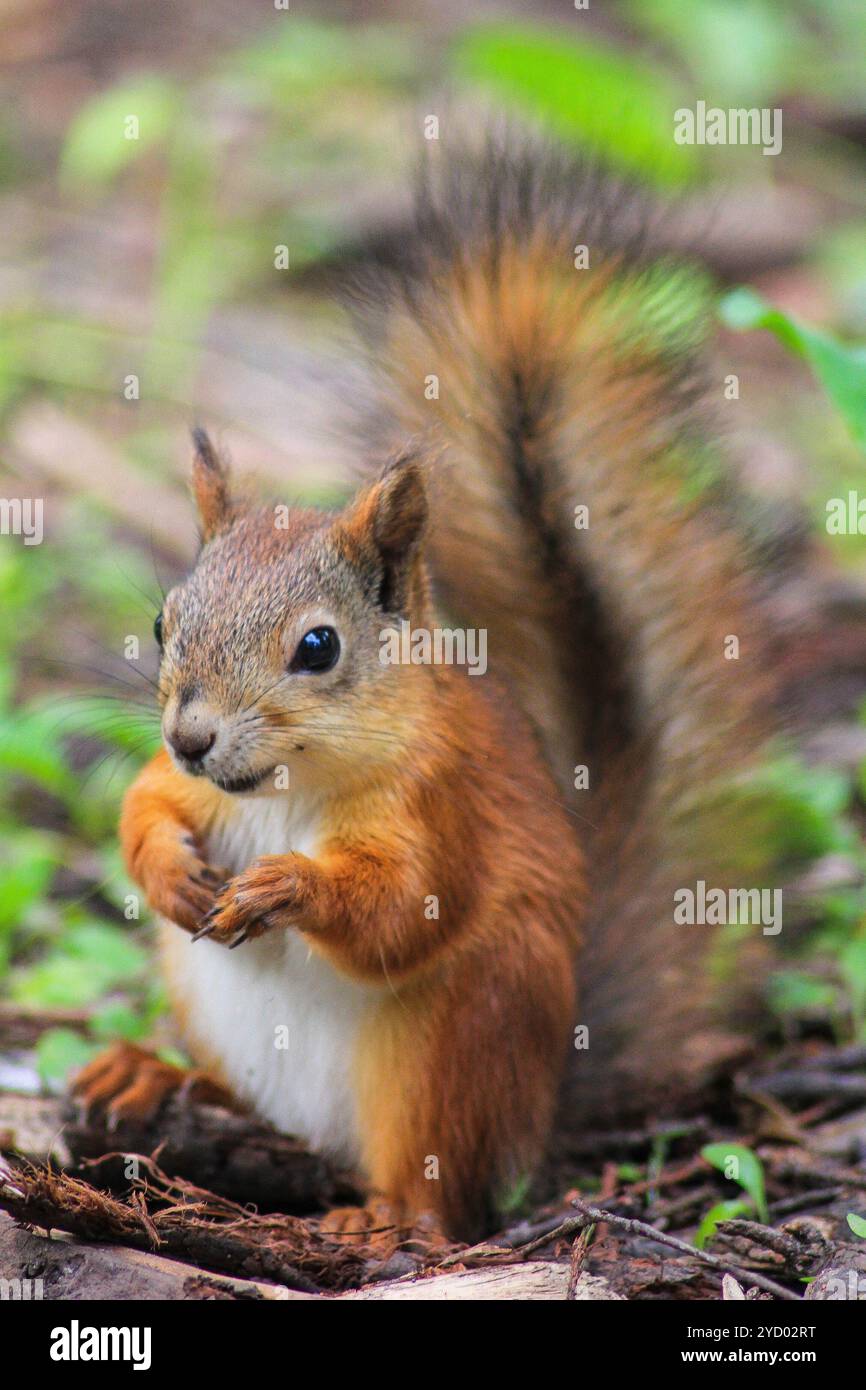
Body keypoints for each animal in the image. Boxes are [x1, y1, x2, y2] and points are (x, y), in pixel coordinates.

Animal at [73, 141, 787, 1242]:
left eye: (318, 646)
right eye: (163, 621)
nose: (192, 735)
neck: (285, 790)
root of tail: (544, 1101)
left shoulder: (441, 803)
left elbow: (406, 910)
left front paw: (288, 887)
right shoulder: (184, 783)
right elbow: (143, 802)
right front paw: (163, 864)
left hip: (455, 1043)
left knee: (439, 1195)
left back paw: (379, 1219)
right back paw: (151, 1075)